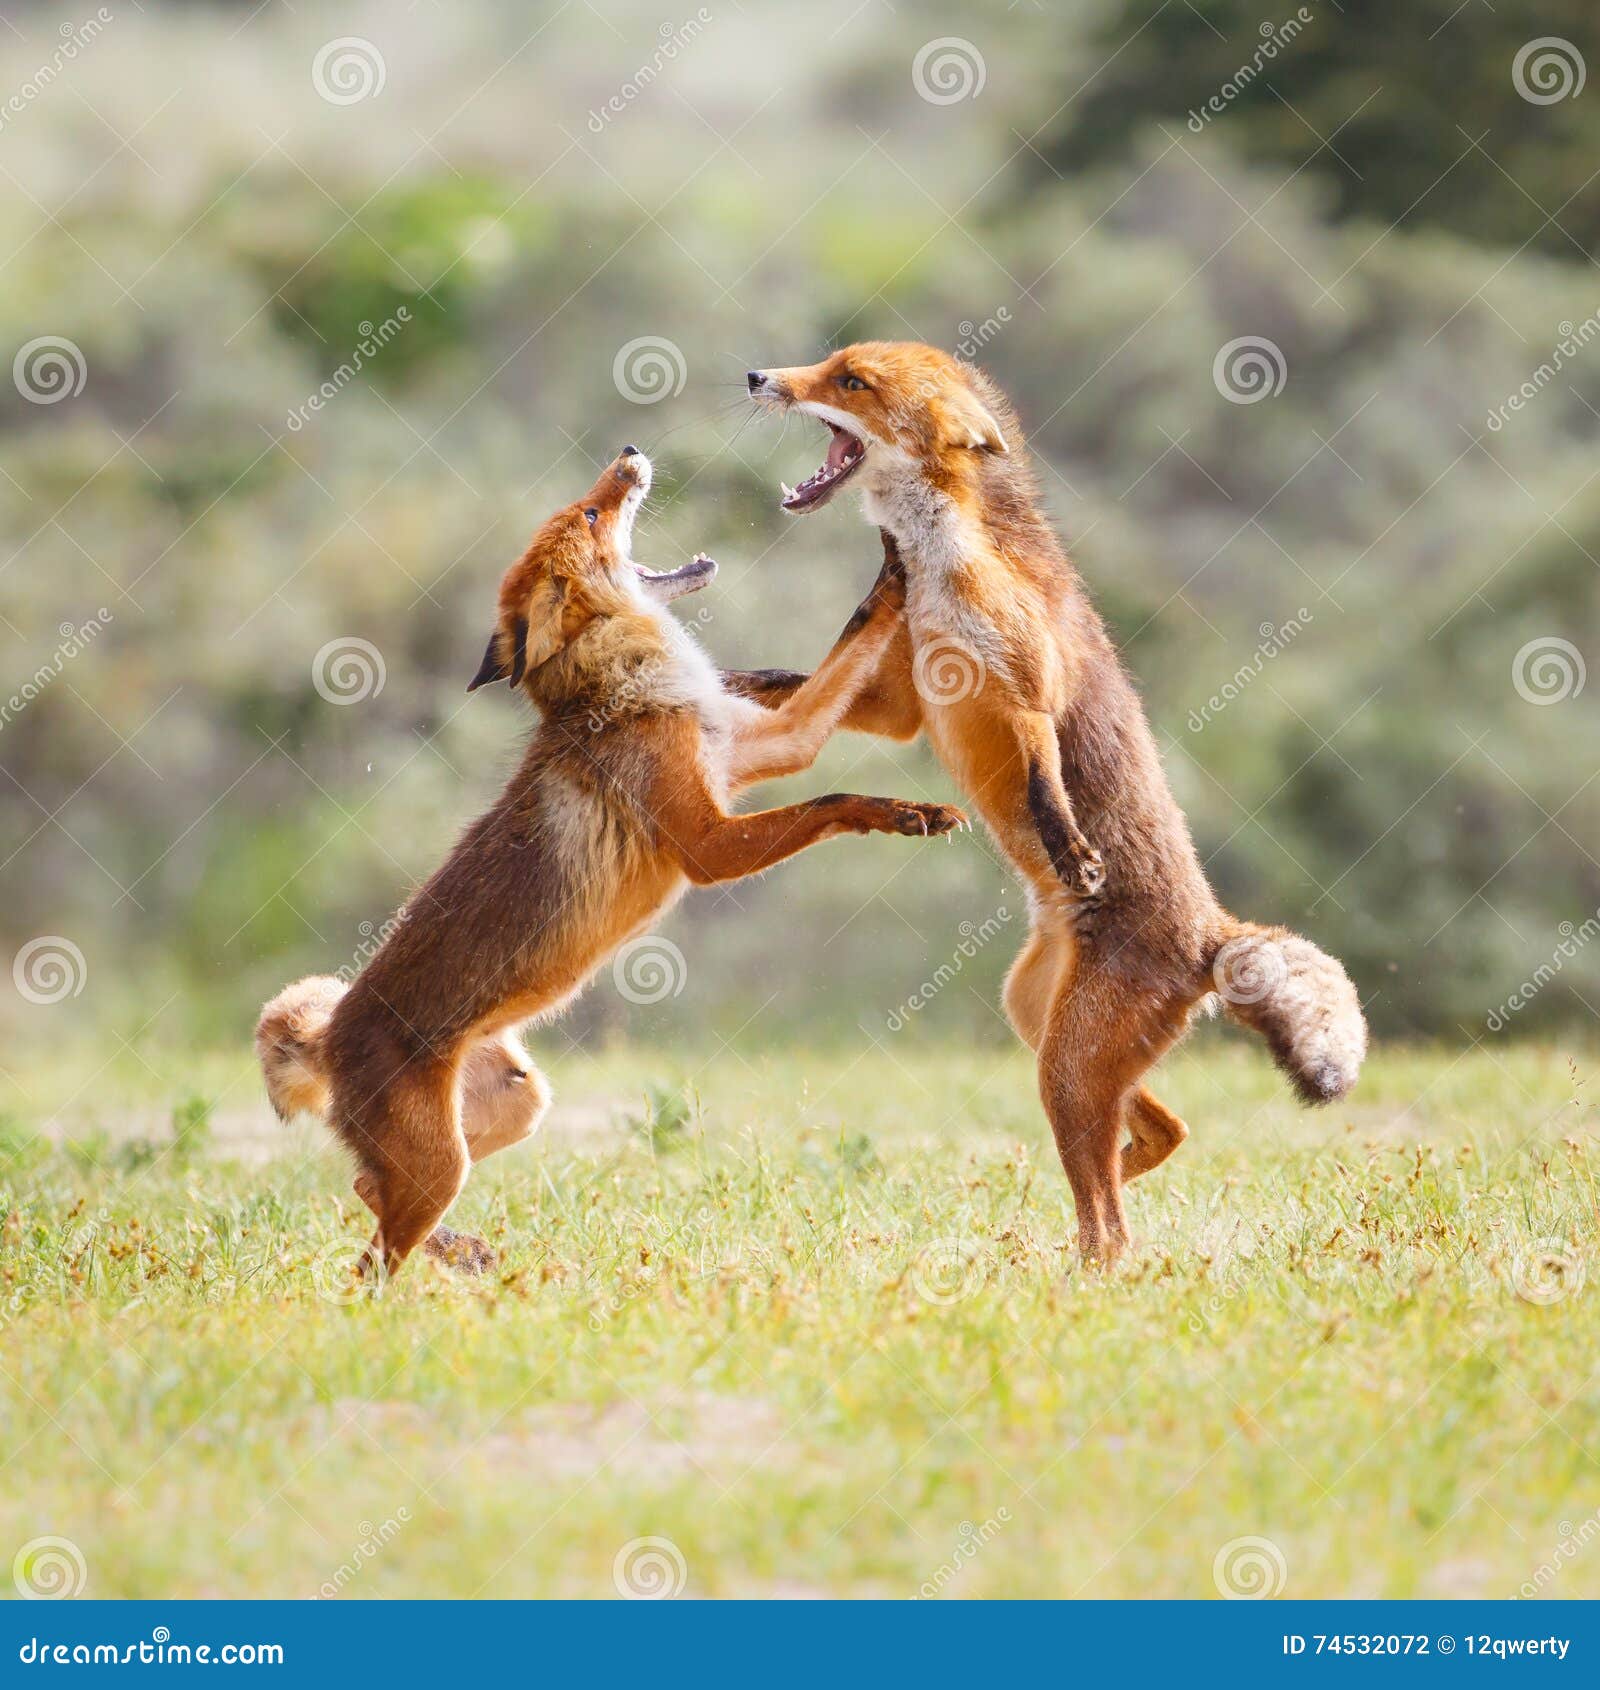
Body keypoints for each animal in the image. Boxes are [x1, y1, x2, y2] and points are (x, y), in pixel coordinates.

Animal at [256, 447, 965, 1281]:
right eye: (590, 515)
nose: (628, 454)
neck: (614, 683)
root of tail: (328, 1035)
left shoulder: (755, 746)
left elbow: (821, 673)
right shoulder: (710, 844)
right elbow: (831, 791)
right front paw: (904, 805)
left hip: (513, 1109)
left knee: (365, 1191)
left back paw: (464, 1253)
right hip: (438, 1168)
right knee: (371, 1256)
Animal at [740, 342, 1366, 1264]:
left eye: (851, 380)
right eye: (827, 362)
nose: (756, 378)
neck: (944, 564)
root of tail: (1211, 932)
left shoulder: (1028, 692)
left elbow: (1044, 774)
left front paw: (1072, 845)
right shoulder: (902, 706)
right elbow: (783, 686)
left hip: (1065, 1068)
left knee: (1111, 1225)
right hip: (1041, 1027)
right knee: (1160, 1139)